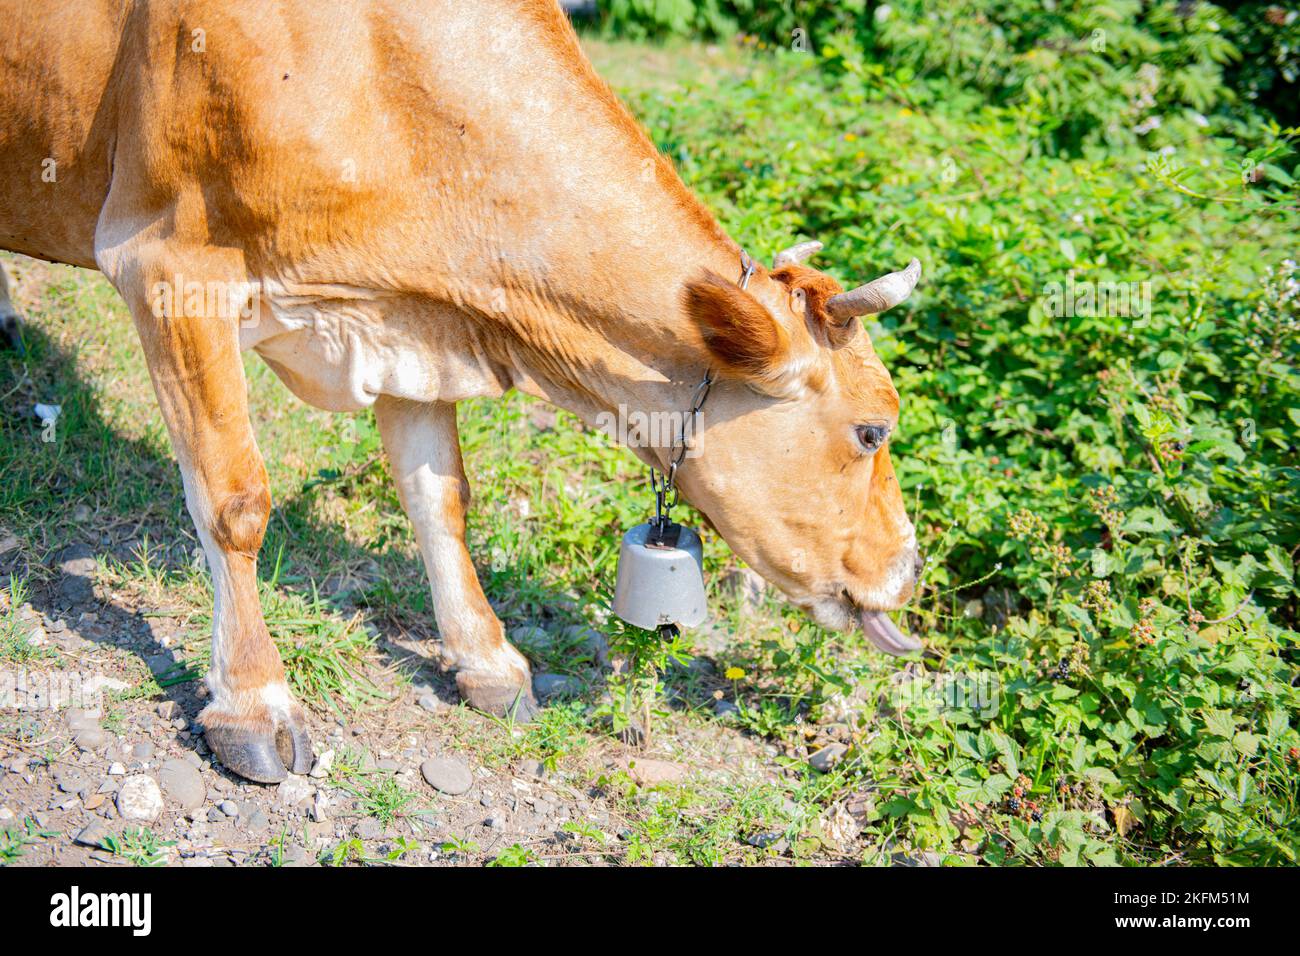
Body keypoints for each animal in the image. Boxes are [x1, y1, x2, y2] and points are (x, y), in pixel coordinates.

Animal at [0, 0, 924, 783]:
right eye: (872, 430)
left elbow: (438, 496)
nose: (910, 568)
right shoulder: (170, 262)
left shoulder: (410, 319)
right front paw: (253, 704)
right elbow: (235, 501)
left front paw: (487, 660)